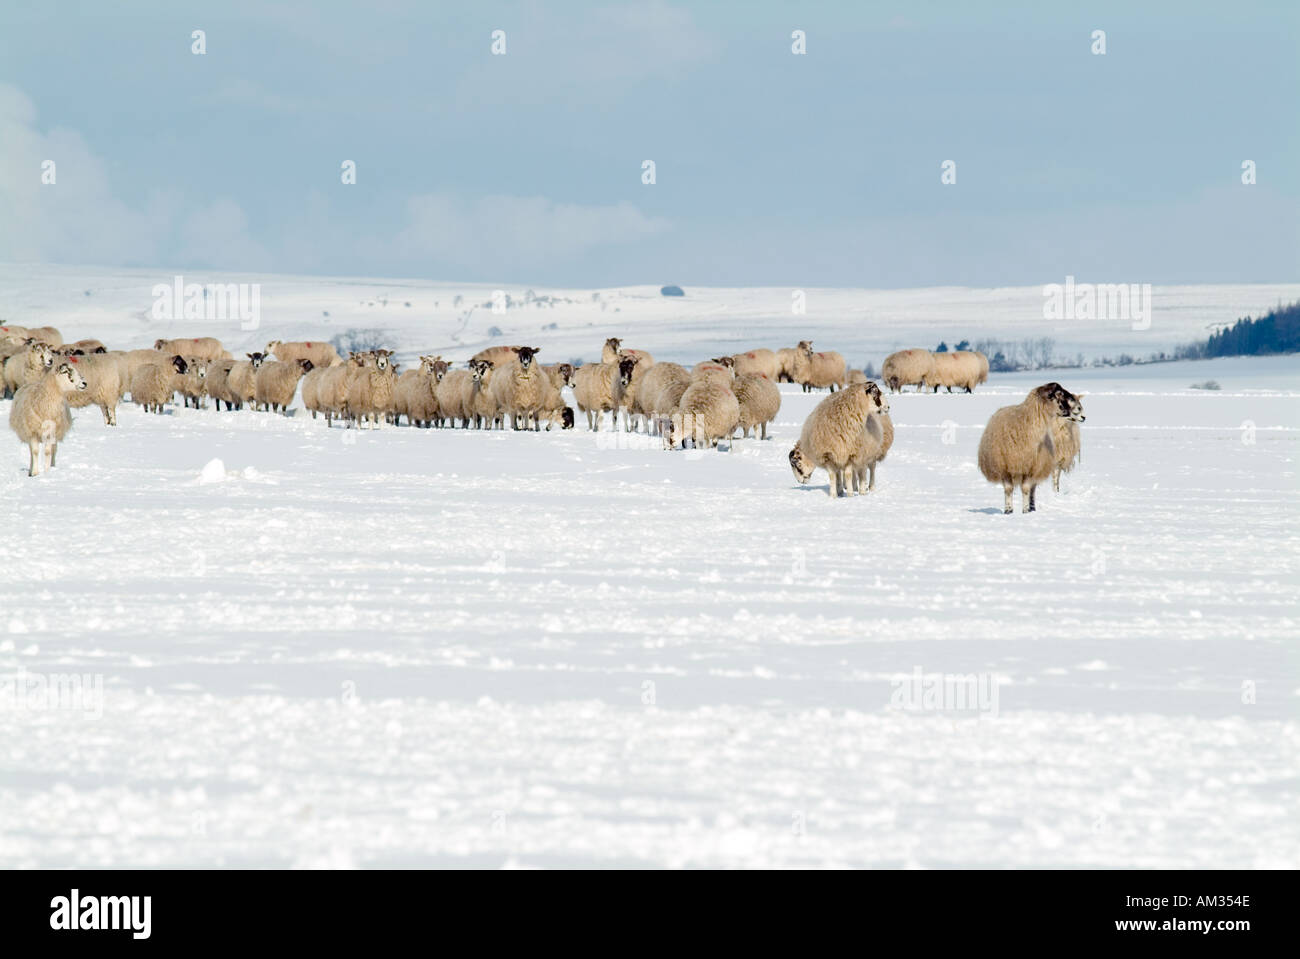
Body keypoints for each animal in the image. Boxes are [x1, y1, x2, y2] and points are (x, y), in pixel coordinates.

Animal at [977, 383, 1085, 513]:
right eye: (1059, 393)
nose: (1083, 416)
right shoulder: (1004, 467)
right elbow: (1008, 489)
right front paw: (1008, 511)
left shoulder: (1031, 467)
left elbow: (1026, 489)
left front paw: (1025, 510)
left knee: (1032, 489)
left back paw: (1032, 507)